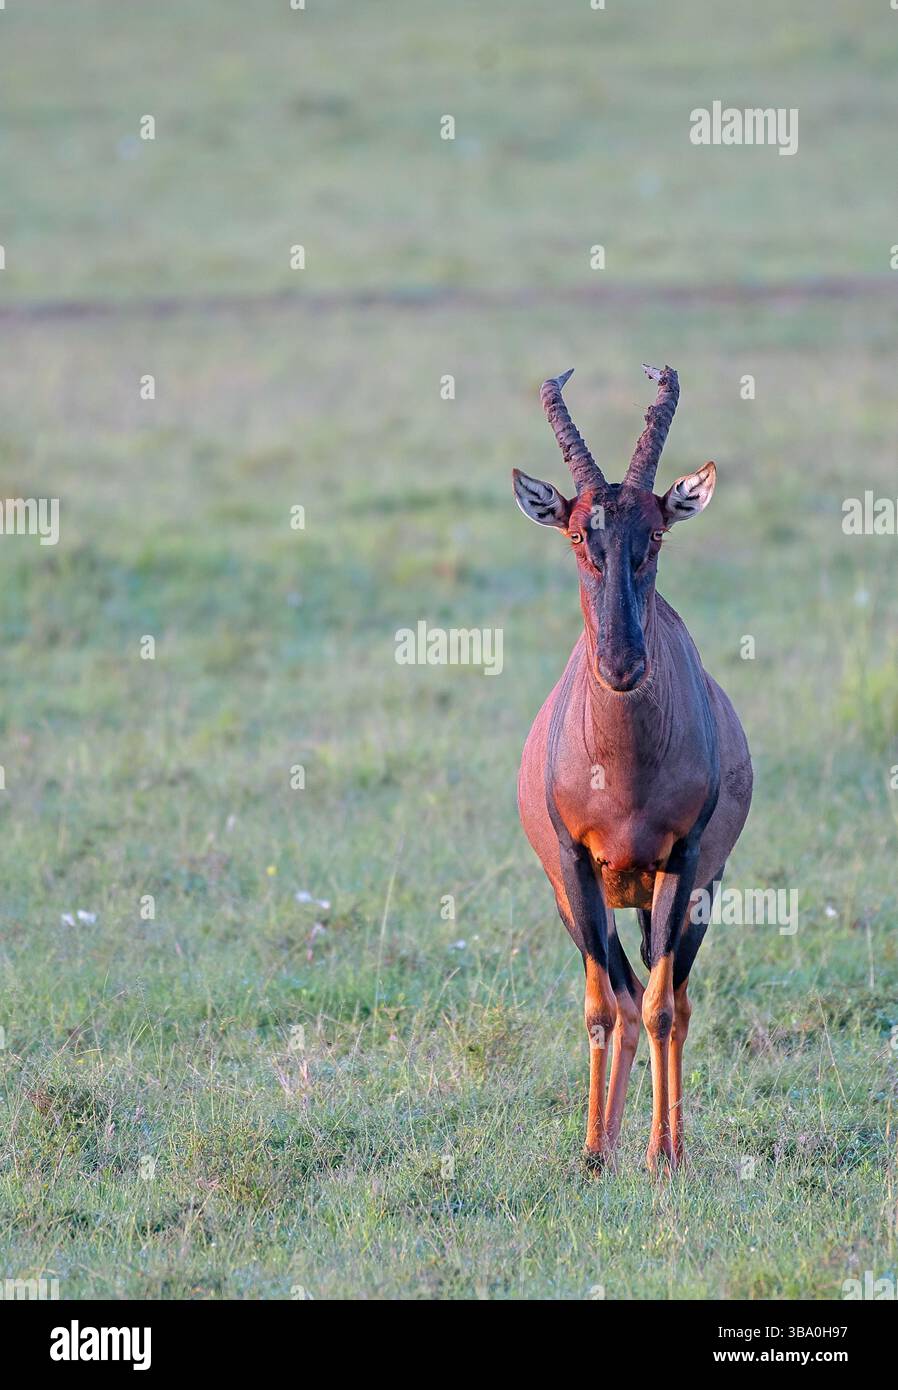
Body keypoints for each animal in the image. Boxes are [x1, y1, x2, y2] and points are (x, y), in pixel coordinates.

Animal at [514, 364, 752, 1171]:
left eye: (655, 533)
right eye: (576, 535)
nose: (622, 665)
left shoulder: (684, 861)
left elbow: (658, 1008)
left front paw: (660, 1157)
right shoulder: (573, 866)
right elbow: (600, 1007)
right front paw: (591, 1153)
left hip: (692, 892)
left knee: (672, 998)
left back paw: (665, 1142)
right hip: (583, 900)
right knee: (620, 993)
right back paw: (607, 1143)